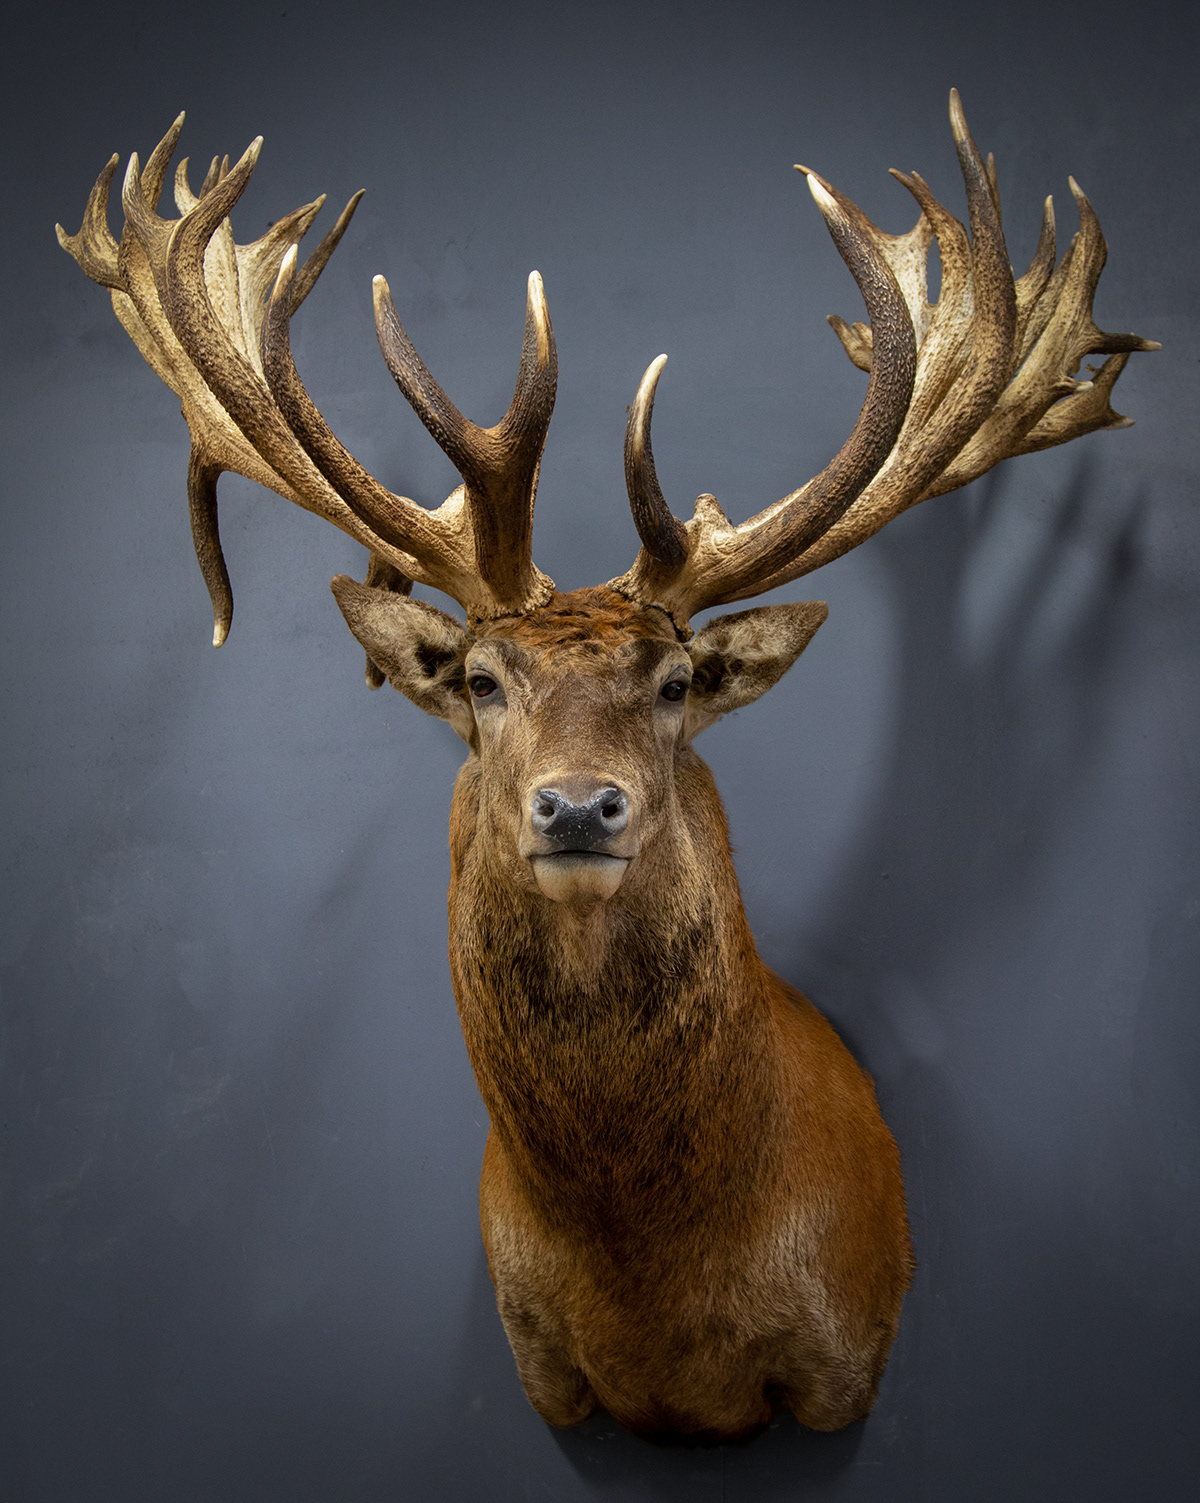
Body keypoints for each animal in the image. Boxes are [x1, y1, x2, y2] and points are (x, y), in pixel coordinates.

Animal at [58, 91, 1155, 1443]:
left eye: (676, 684)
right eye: (481, 682)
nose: (579, 804)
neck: (655, 1304)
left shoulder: (844, 1365)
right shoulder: (542, 1369)